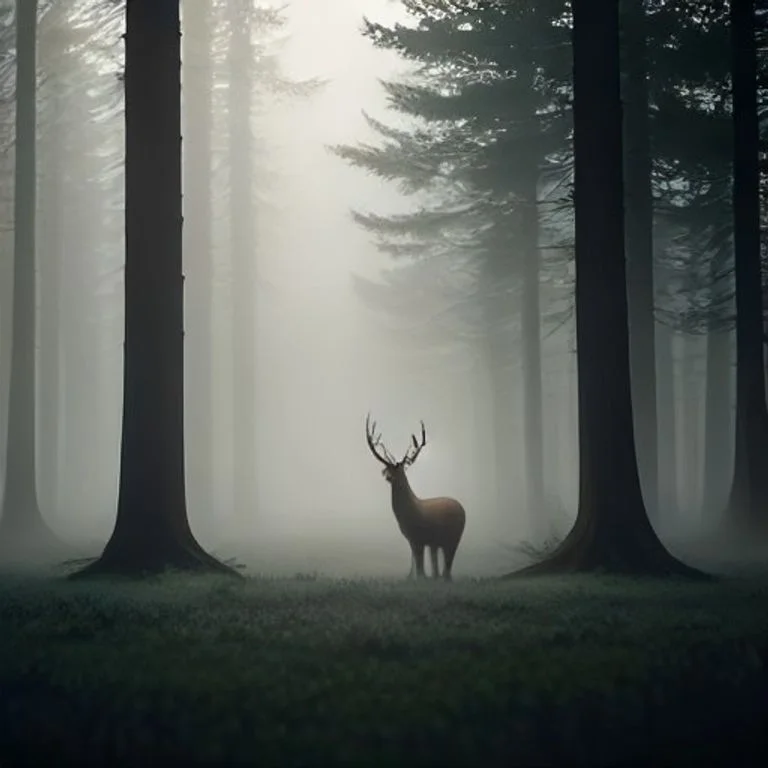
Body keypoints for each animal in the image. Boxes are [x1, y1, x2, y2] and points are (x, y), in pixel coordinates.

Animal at [365, 414, 466, 581]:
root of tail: (462, 507)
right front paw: (416, 578)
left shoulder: (419, 537)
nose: (387, 476)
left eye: (399, 471)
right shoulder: (413, 539)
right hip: (437, 542)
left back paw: (446, 578)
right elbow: (417, 564)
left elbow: (419, 565)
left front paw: (420, 579)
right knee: (438, 562)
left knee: (449, 561)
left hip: (455, 535)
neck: (409, 513)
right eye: (388, 468)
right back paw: (438, 577)